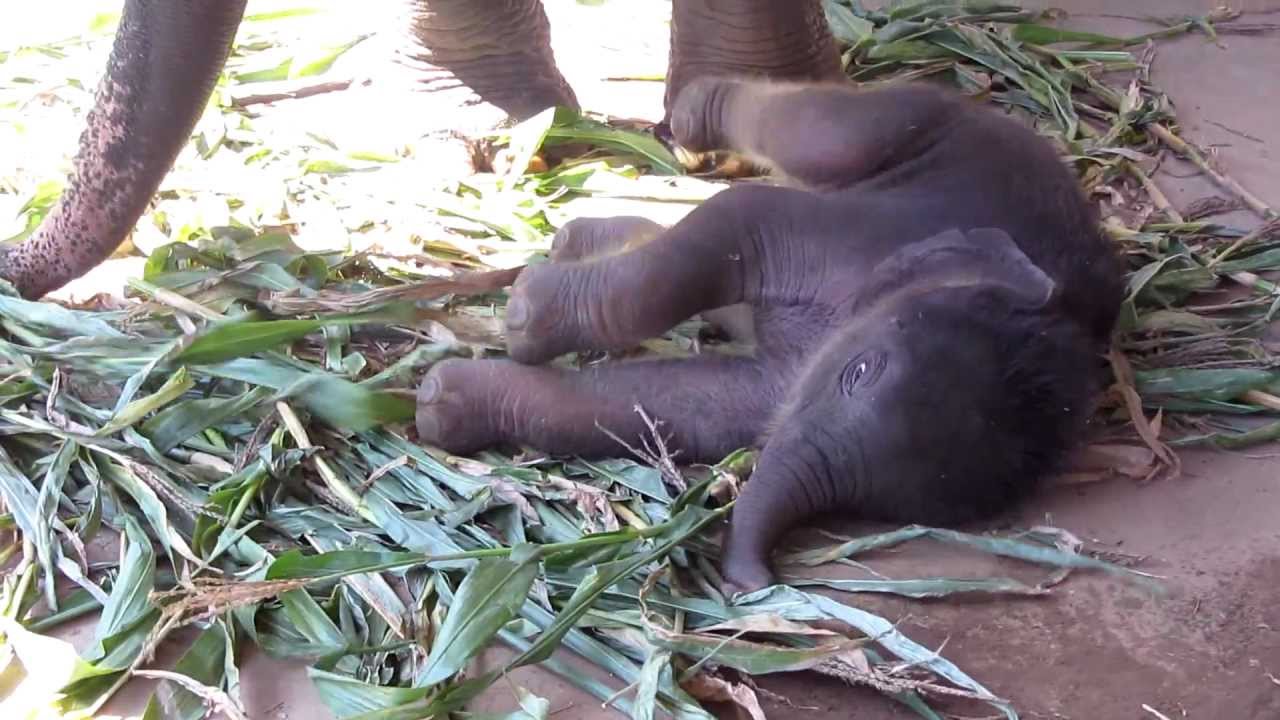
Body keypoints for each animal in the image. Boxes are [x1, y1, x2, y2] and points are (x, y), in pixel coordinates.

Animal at [414, 77, 1127, 593]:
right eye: (859, 372)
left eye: (890, 507)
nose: (757, 584)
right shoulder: (857, 238)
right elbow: (735, 221)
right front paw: (521, 320)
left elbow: (679, 407)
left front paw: (444, 403)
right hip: (917, 125)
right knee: (818, 130)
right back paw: (689, 114)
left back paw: (571, 240)